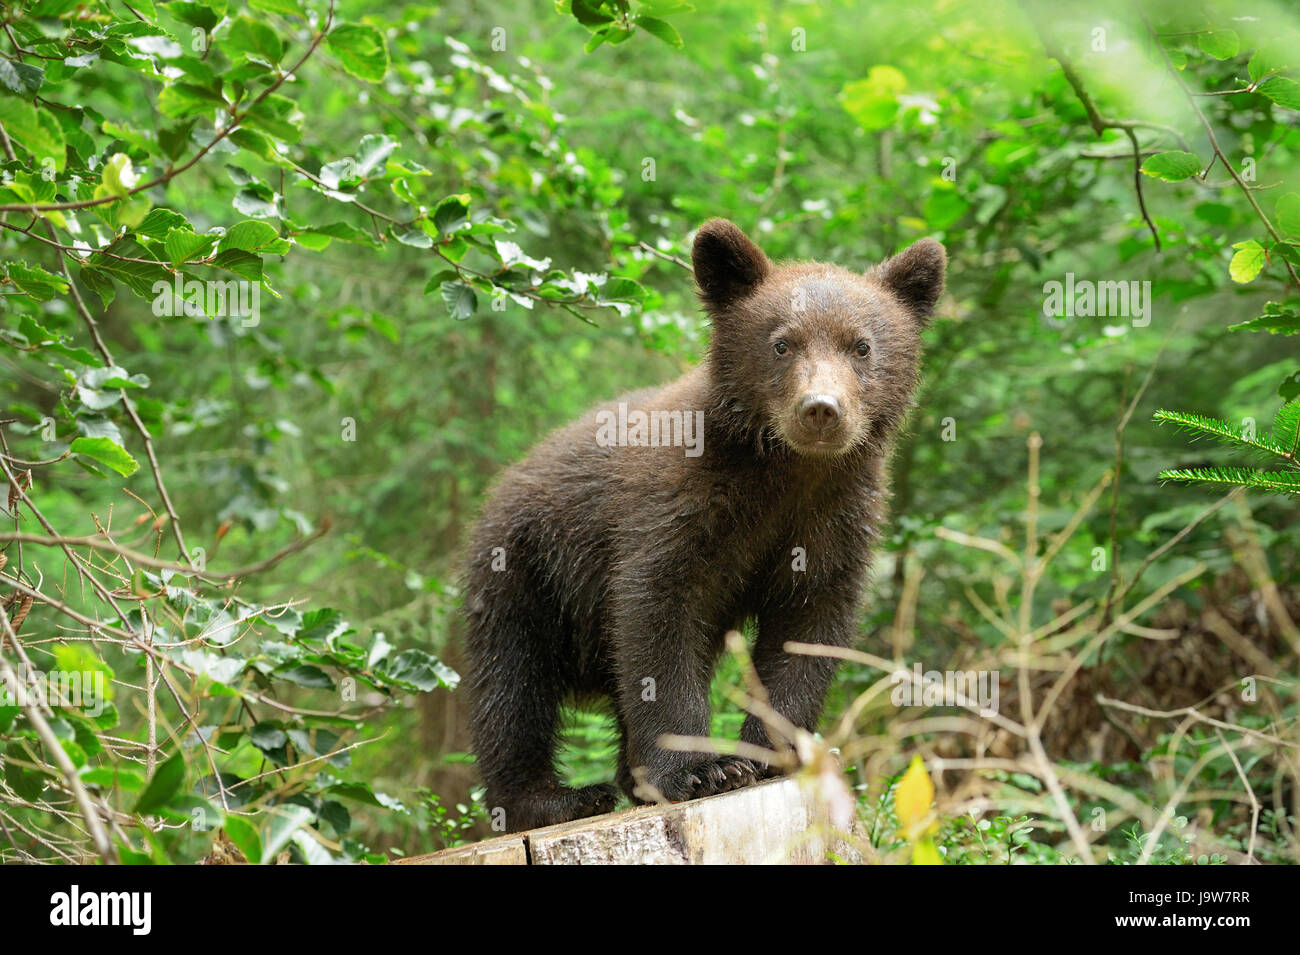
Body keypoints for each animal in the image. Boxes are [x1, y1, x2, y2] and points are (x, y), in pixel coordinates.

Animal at [462, 219, 945, 832]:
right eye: (782, 343)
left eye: (861, 346)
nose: (821, 409)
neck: (784, 472)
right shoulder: (678, 508)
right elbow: (658, 618)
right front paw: (700, 769)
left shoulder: (833, 519)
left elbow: (810, 621)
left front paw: (775, 754)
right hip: (523, 574)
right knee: (512, 690)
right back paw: (553, 798)